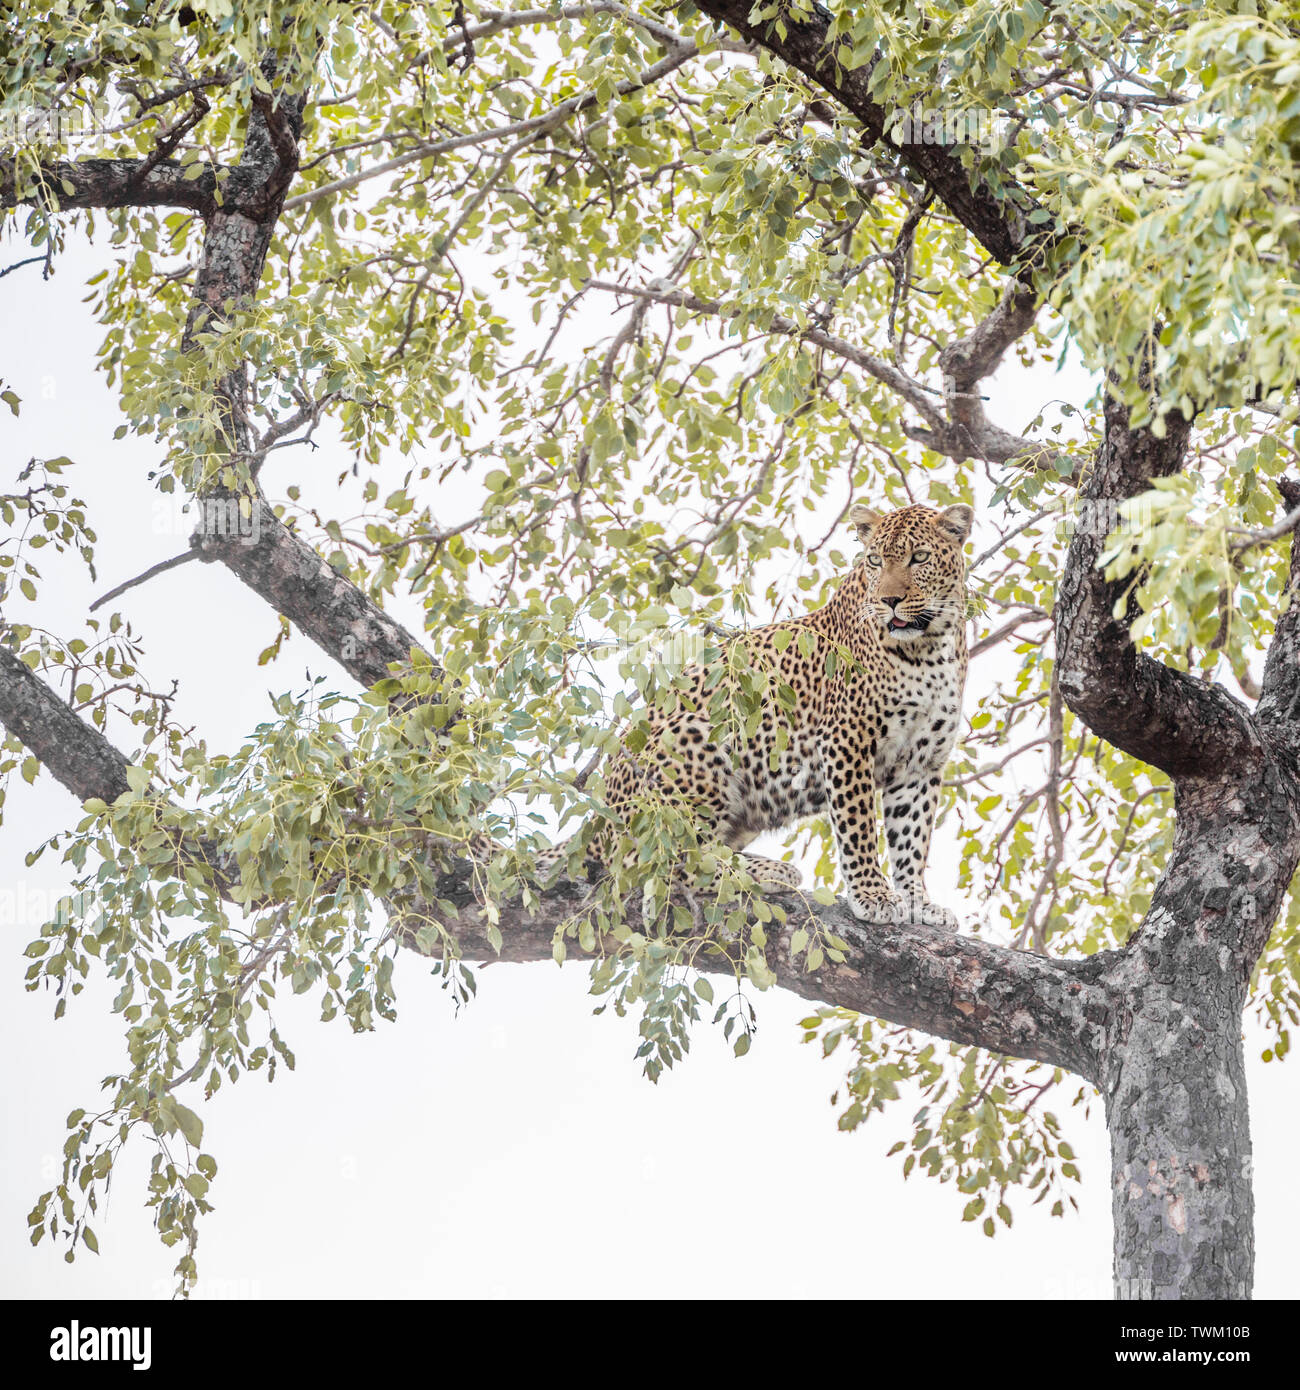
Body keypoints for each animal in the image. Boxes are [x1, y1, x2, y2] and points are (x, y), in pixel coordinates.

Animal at [541, 501, 973, 926]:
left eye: (920, 558)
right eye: (874, 561)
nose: (889, 601)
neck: (929, 648)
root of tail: (599, 817)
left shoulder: (921, 760)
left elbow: (912, 837)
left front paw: (918, 901)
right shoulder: (848, 739)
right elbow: (859, 826)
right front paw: (873, 895)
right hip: (693, 740)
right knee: (661, 860)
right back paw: (768, 871)